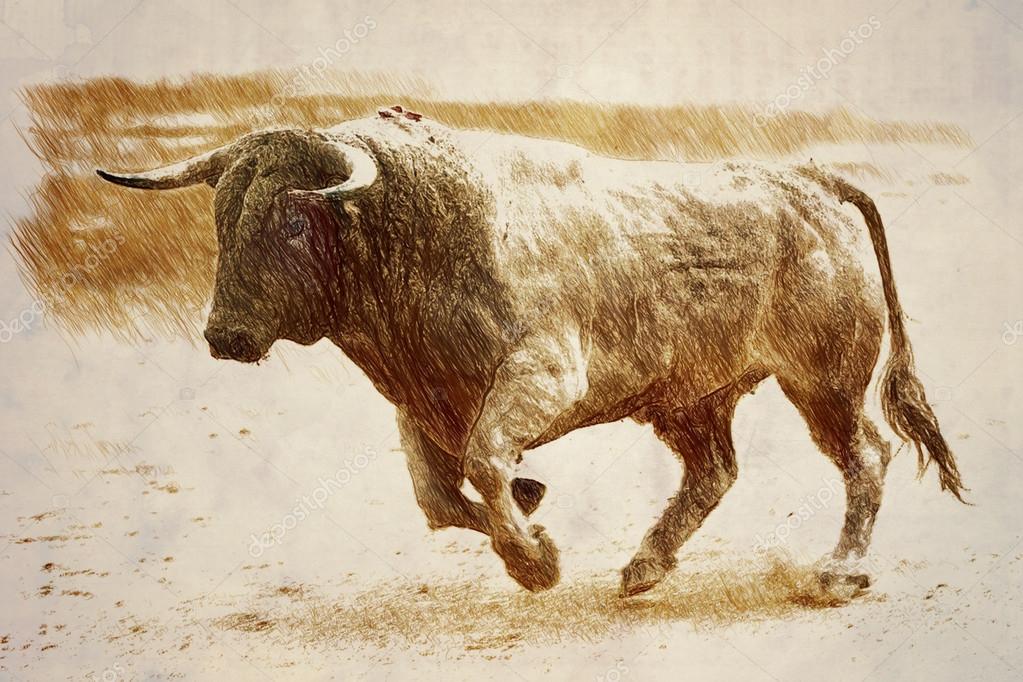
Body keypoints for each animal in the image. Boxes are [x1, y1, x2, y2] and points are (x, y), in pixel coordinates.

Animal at [97, 107, 964, 597]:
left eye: (289, 220)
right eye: (222, 215)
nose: (225, 336)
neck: (420, 230)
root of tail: (811, 181)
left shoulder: (540, 378)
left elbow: (480, 464)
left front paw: (534, 562)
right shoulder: (421, 406)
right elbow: (439, 498)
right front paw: (533, 515)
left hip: (822, 381)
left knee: (864, 457)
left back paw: (838, 573)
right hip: (687, 399)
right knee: (714, 471)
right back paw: (641, 570)